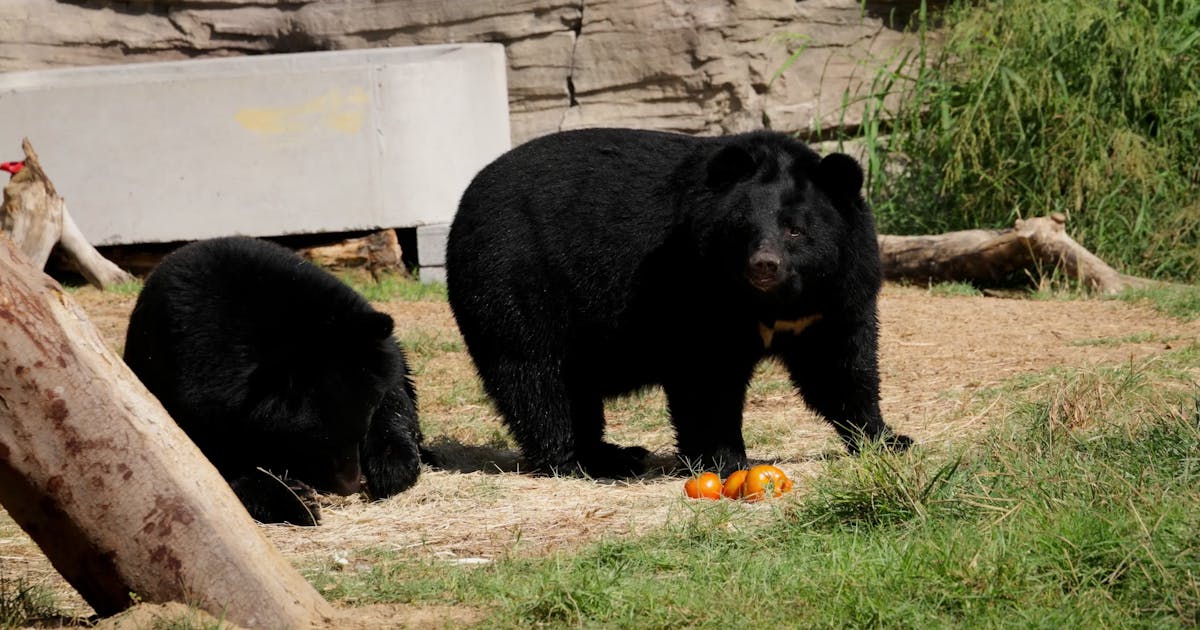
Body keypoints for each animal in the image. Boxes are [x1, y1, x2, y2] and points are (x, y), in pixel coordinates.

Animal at [123, 236, 423, 525]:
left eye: (362, 429)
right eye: (318, 443)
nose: (349, 485)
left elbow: (396, 389)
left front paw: (391, 468)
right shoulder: (191, 386)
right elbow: (217, 459)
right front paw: (298, 500)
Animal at [445, 128, 911, 479]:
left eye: (795, 229)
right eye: (744, 228)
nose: (764, 265)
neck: (776, 300)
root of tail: (465, 199)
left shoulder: (836, 296)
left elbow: (839, 369)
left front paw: (889, 439)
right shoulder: (692, 282)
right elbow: (706, 377)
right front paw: (725, 459)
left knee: (571, 387)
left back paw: (614, 453)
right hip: (516, 287)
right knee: (536, 379)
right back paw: (578, 459)